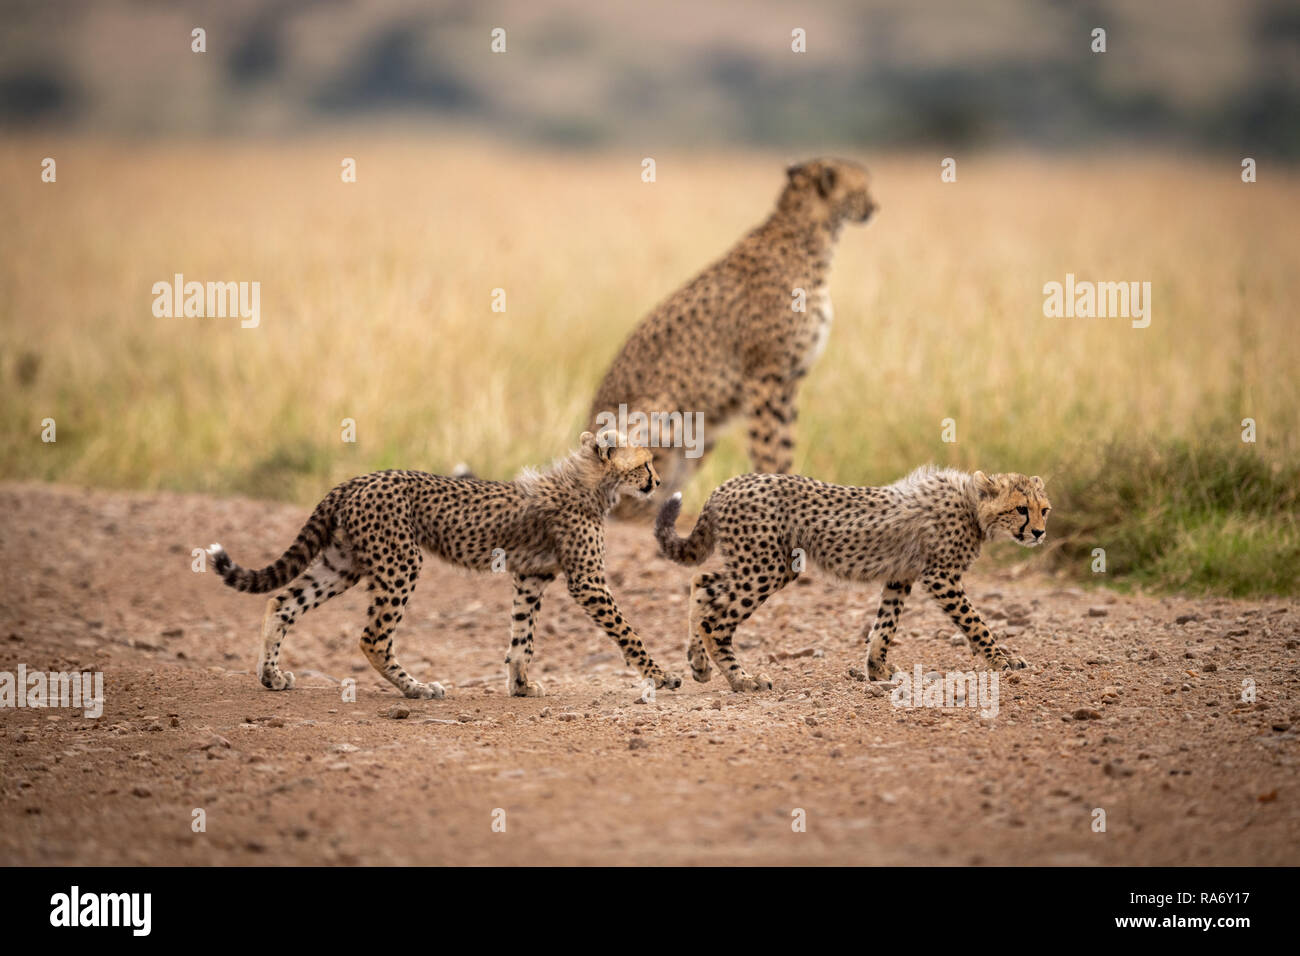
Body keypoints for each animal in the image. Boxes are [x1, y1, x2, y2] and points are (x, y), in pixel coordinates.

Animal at [206, 430, 682, 700]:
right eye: (645, 463)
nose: (659, 481)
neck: (590, 481)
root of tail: (357, 479)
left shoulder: (531, 577)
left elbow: (522, 637)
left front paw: (521, 686)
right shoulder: (587, 583)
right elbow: (629, 633)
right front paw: (661, 677)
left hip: (344, 564)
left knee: (282, 602)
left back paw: (271, 677)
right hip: (400, 562)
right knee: (373, 638)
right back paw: (416, 688)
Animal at [589, 158, 878, 519]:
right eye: (862, 188)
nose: (875, 206)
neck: (815, 239)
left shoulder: (789, 379)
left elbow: (785, 440)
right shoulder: (766, 375)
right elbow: (770, 444)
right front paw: (778, 489)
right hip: (664, 414)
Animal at [655, 467, 1051, 692]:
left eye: (1043, 510)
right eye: (1020, 509)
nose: (1039, 533)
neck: (971, 505)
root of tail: (728, 484)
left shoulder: (901, 576)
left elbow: (885, 626)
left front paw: (877, 668)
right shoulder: (941, 577)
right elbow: (977, 623)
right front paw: (1002, 659)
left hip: (754, 562)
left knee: (703, 583)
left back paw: (699, 664)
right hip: (768, 566)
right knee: (716, 620)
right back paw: (741, 679)